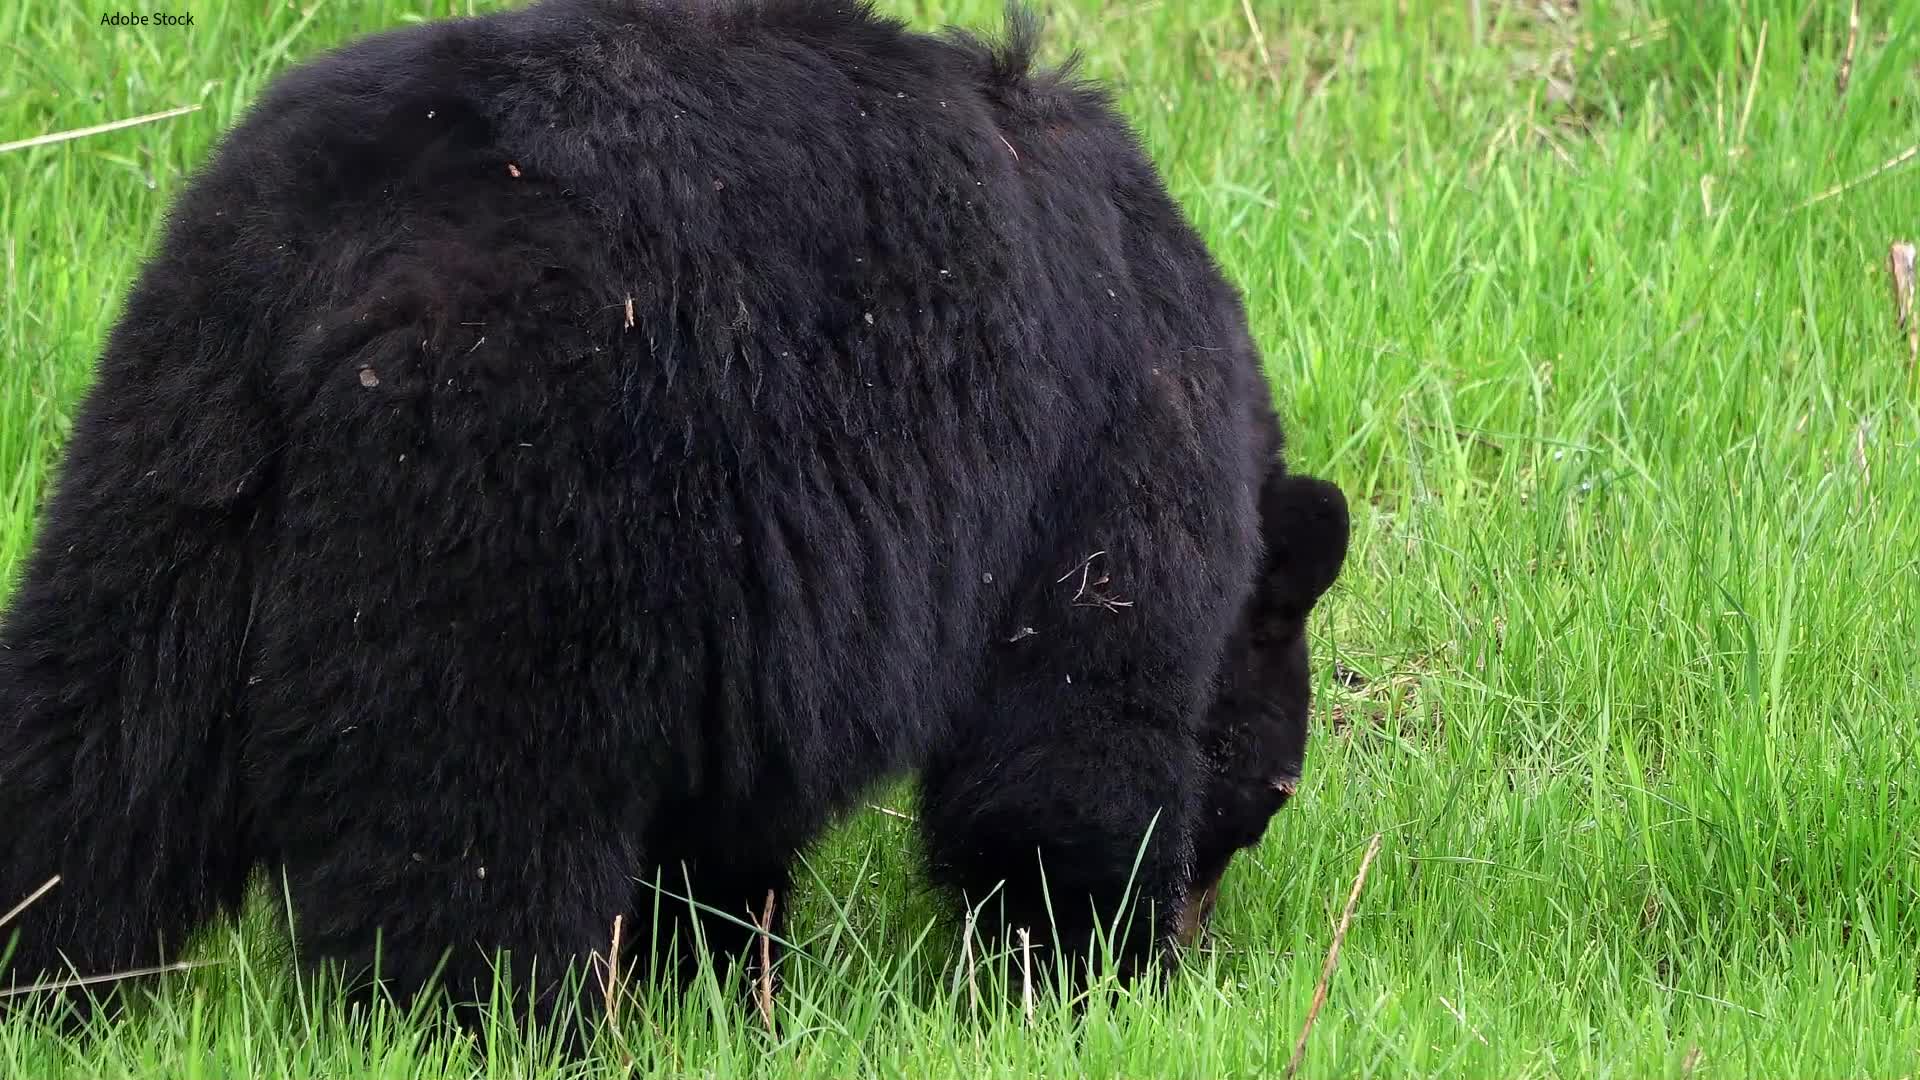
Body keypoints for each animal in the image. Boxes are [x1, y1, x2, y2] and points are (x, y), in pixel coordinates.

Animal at [0, 0, 1349, 1036]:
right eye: (1277, 794)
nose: (1203, 938)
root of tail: (337, 268)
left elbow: (729, 820)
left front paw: (724, 979)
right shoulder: (1109, 444)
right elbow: (1066, 741)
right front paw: (1092, 977)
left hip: (173, 437)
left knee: (98, 741)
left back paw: (51, 984)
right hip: (511, 493)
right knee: (473, 835)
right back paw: (503, 1030)